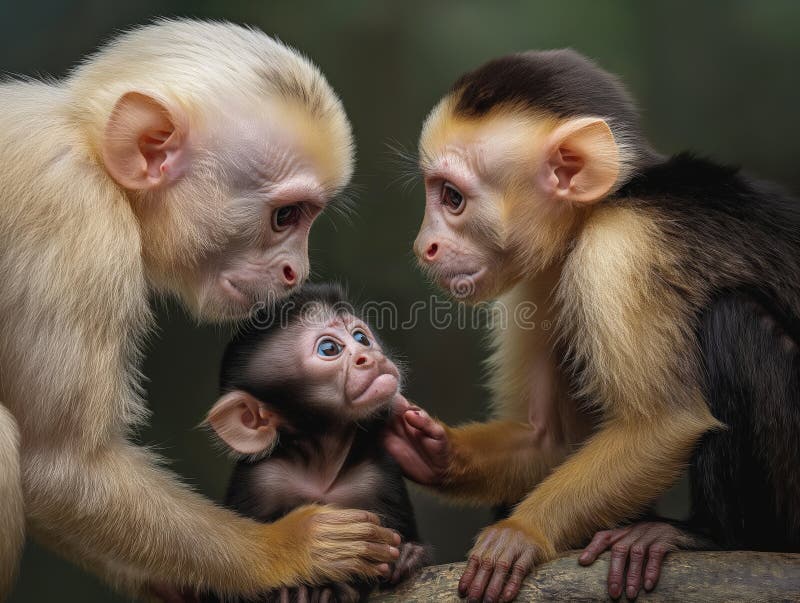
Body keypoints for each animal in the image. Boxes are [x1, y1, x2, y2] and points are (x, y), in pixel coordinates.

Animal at [0, 19, 401, 600]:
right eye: (285, 216)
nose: (295, 271)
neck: (88, 149)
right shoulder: (76, 216)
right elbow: (58, 464)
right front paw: (286, 551)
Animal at [196, 282, 429, 602]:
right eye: (329, 349)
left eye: (361, 338)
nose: (366, 356)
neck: (323, 465)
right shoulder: (259, 482)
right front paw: (304, 582)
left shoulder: (380, 475)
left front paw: (407, 555)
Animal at [382, 49, 800, 602]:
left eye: (452, 198)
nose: (422, 246)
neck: (601, 208)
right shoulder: (541, 276)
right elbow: (548, 441)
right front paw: (432, 451)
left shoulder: (620, 247)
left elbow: (664, 425)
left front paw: (522, 532)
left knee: (734, 320)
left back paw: (708, 537)